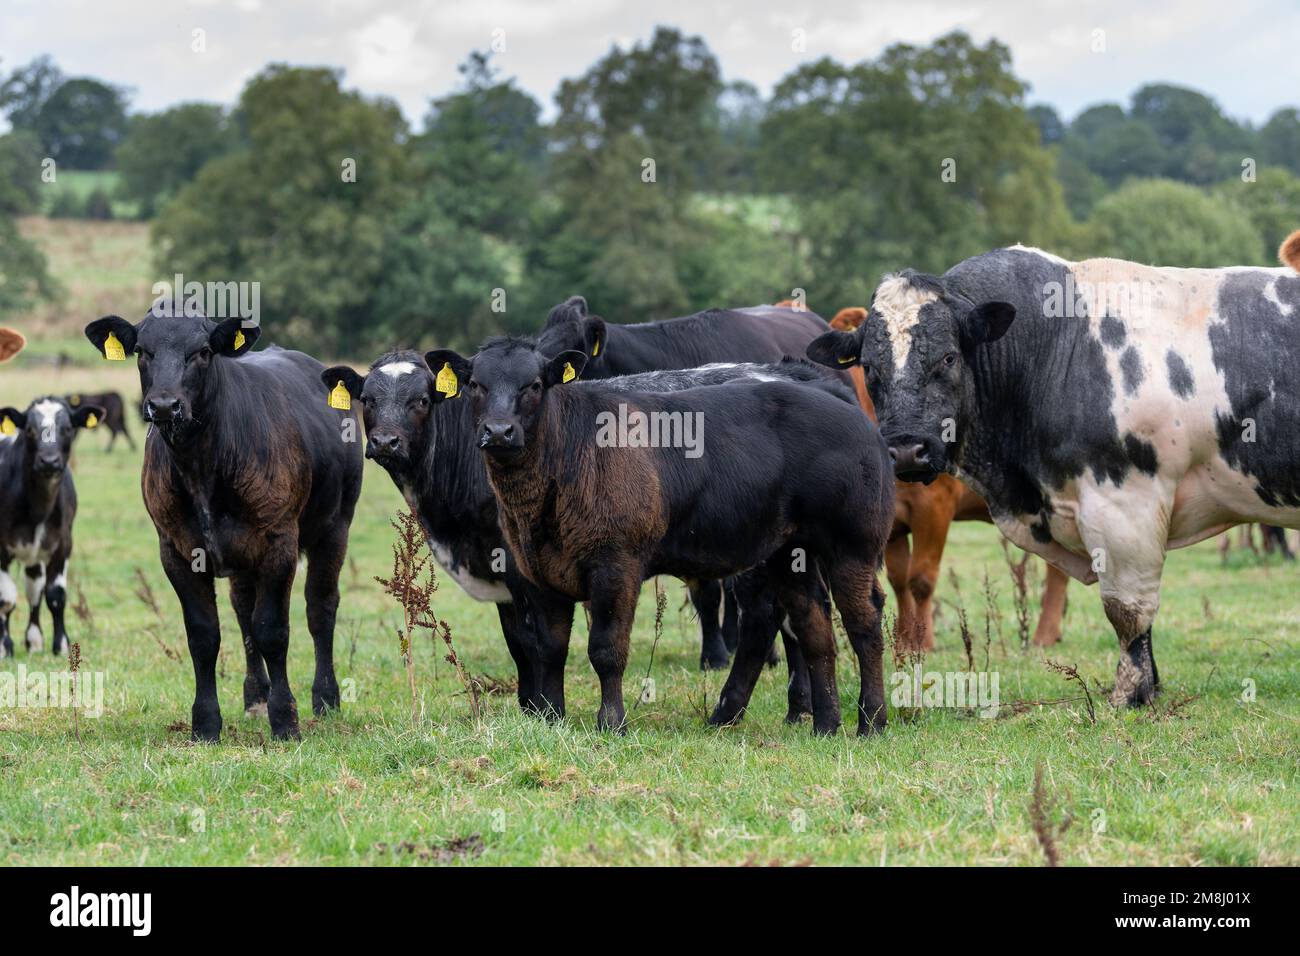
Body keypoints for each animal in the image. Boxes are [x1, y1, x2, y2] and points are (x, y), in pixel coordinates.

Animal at [0, 396, 101, 656]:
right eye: (29, 429)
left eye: (67, 428)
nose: (49, 461)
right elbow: (5, 599)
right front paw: (4, 647)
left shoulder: (63, 543)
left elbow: (55, 595)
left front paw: (61, 645)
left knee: (34, 589)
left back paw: (34, 641)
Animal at [84, 309, 363, 741]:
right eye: (142, 350)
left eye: (202, 351)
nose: (164, 406)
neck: (201, 464)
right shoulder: (176, 549)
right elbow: (204, 634)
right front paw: (205, 723)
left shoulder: (280, 542)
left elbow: (272, 630)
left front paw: (286, 719)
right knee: (243, 610)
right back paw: (256, 696)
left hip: (335, 527)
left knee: (320, 607)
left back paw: (326, 698)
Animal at [423, 336, 895, 737]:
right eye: (475, 384)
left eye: (534, 385)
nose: (499, 431)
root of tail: (853, 412)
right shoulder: (537, 572)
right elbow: (549, 650)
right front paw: (552, 719)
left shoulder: (616, 563)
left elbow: (606, 650)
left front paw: (611, 723)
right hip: (789, 551)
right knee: (813, 625)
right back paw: (825, 725)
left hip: (853, 544)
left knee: (863, 622)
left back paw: (871, 722)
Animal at [827, 306, 1071, 650]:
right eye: (869, 365)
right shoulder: (891, 520)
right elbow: (899, 580)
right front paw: (904, 642)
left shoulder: (934, 507)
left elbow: (921, 579)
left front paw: (923, 642)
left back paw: (1043, 636)